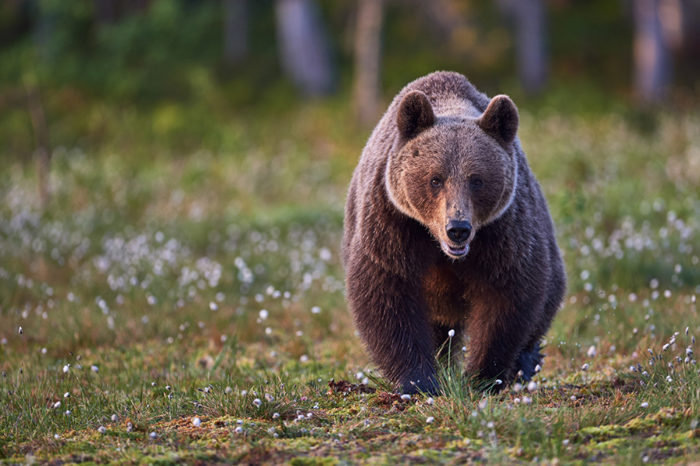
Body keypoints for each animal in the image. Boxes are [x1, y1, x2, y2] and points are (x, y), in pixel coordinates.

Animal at [342, 71, 566, 394]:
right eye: (435, 179)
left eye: (477, 180)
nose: (458, 228)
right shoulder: (393, 222)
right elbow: (388, 292)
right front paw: (419, 380)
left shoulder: (502, 230)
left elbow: (506, 295)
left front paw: (483, 376)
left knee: (547, 297)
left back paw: (526, 362)